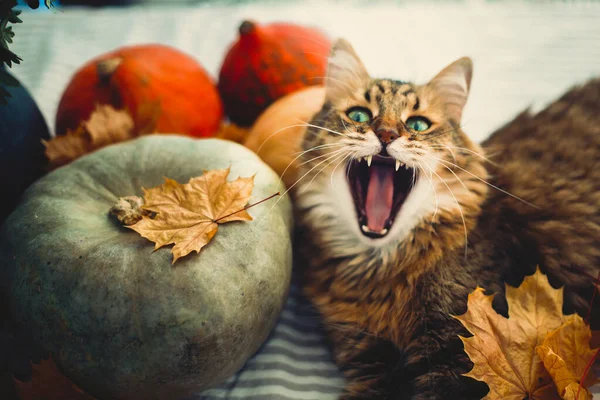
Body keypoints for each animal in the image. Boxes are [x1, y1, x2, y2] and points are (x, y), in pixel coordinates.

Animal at [294, 38, 600, 400]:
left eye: (417, 125)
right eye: (359, 115)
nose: (386, 134)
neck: (380, 272)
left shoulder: (458, 347)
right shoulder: (366, 353)